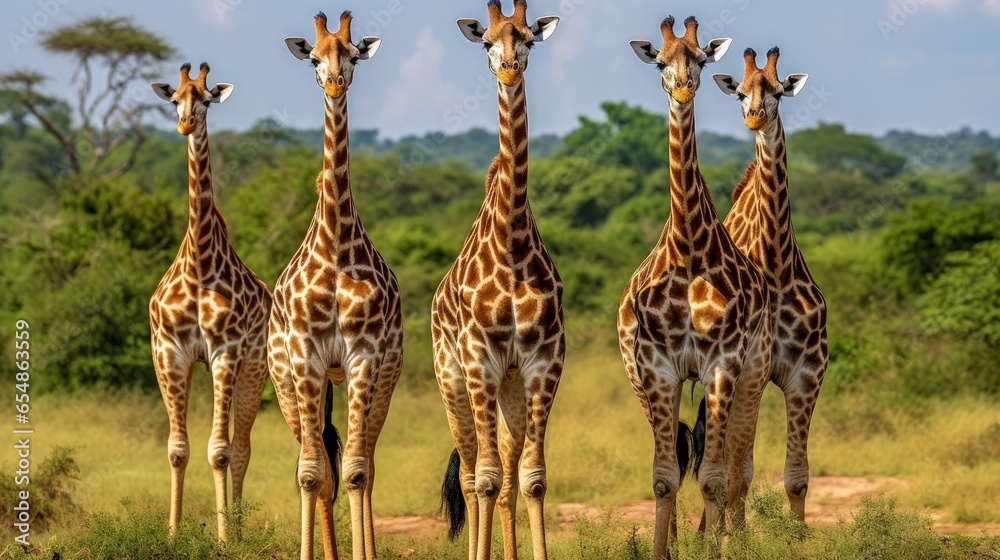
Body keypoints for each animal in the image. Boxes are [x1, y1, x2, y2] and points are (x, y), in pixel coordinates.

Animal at [148, 63, 271, 542]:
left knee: (242, 446)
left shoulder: (225, 352)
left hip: (256, 368)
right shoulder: (171, 352)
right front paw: (171, 534)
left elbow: (219, 450)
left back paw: (235, 530)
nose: (185, 123)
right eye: (174, 98)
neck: (200, 265)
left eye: (204, 99)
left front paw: (222, 539)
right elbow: (177, 449)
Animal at [617, 16, 773, 558]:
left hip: (753, 373)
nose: (683, 87)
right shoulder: (657, 366)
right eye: (661, 62)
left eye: (702, 58)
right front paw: (664, 551)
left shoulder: (722, 363)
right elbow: (666, 477)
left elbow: (714, 478)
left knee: (735, 466)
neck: (687, 251)